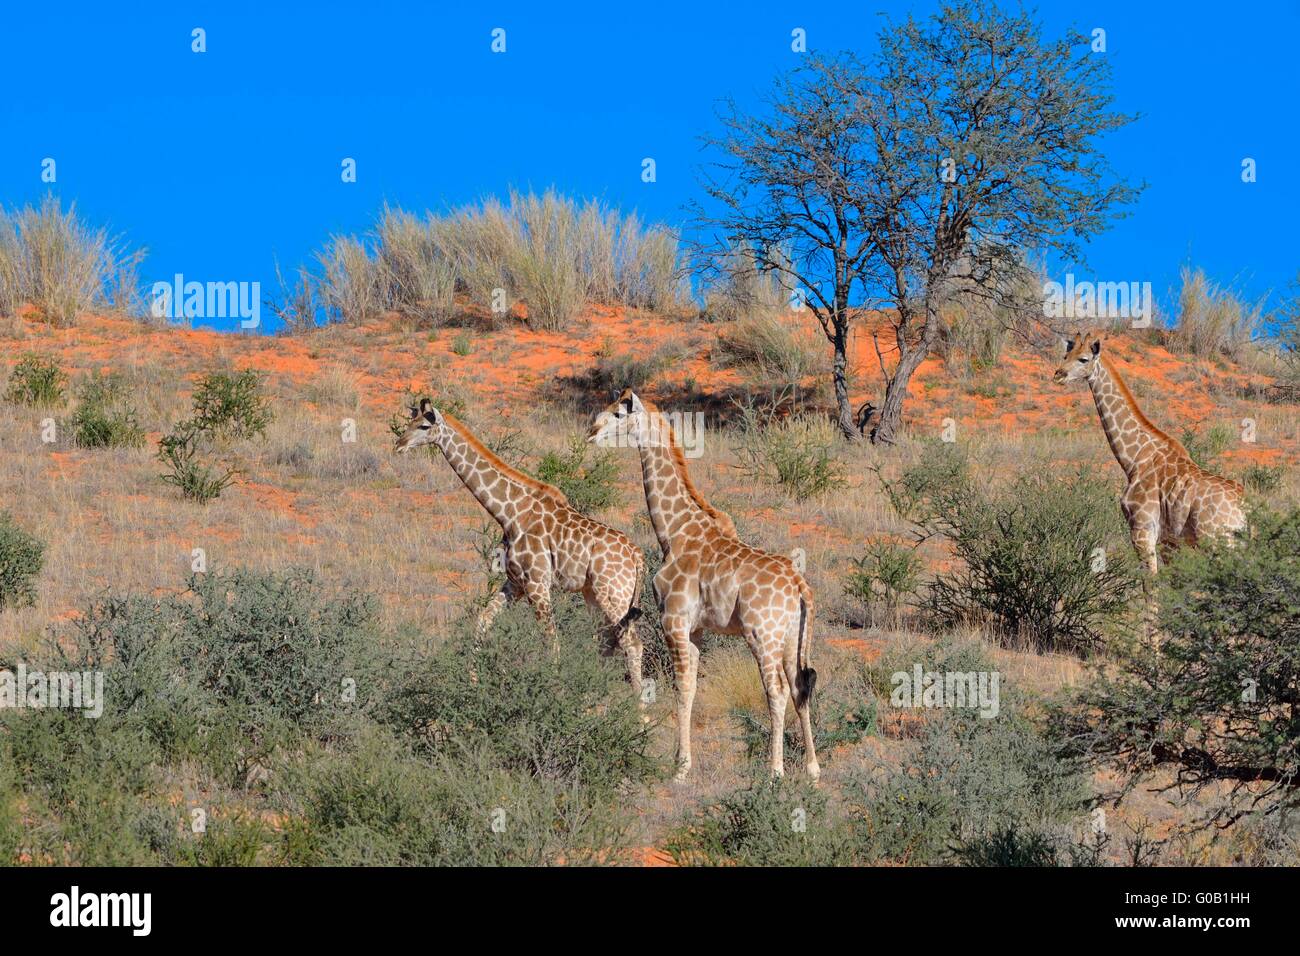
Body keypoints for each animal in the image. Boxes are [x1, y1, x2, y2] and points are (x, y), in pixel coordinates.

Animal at [395, 399, 646, 693]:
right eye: (410, 422)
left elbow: (551, 642)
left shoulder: (537, 584)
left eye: (424, 426)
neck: (509, 513)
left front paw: (555, 690)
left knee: (632, 642)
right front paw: (472, 681)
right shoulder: (515, 582)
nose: (399, 444)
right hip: (594, 594)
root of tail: (638, 555)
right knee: (608, 641)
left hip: (614, 594)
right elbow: (482, 621)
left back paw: (638, 705)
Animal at [587, 389, 819, 781]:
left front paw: (681, 768)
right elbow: (692, 687)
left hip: (762, 635)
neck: (674, 532)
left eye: (619, 413)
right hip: (792, 639)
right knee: (800, 685)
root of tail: (800, 587)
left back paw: (775, 771)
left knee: (776, 691)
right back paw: (813, 771)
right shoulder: (695, 630)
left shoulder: (674, 621)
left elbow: (681, 688)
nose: (591, 432)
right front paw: (681, 760)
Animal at [1053, 330, 1246, 578]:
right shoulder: (1169, 541)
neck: (1135, 459)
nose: (1058, 375)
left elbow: (1150, 584)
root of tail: (1246, 508)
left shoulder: (1142, 528)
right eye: (1065, 355)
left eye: (1083, 359)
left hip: (1218, 544)